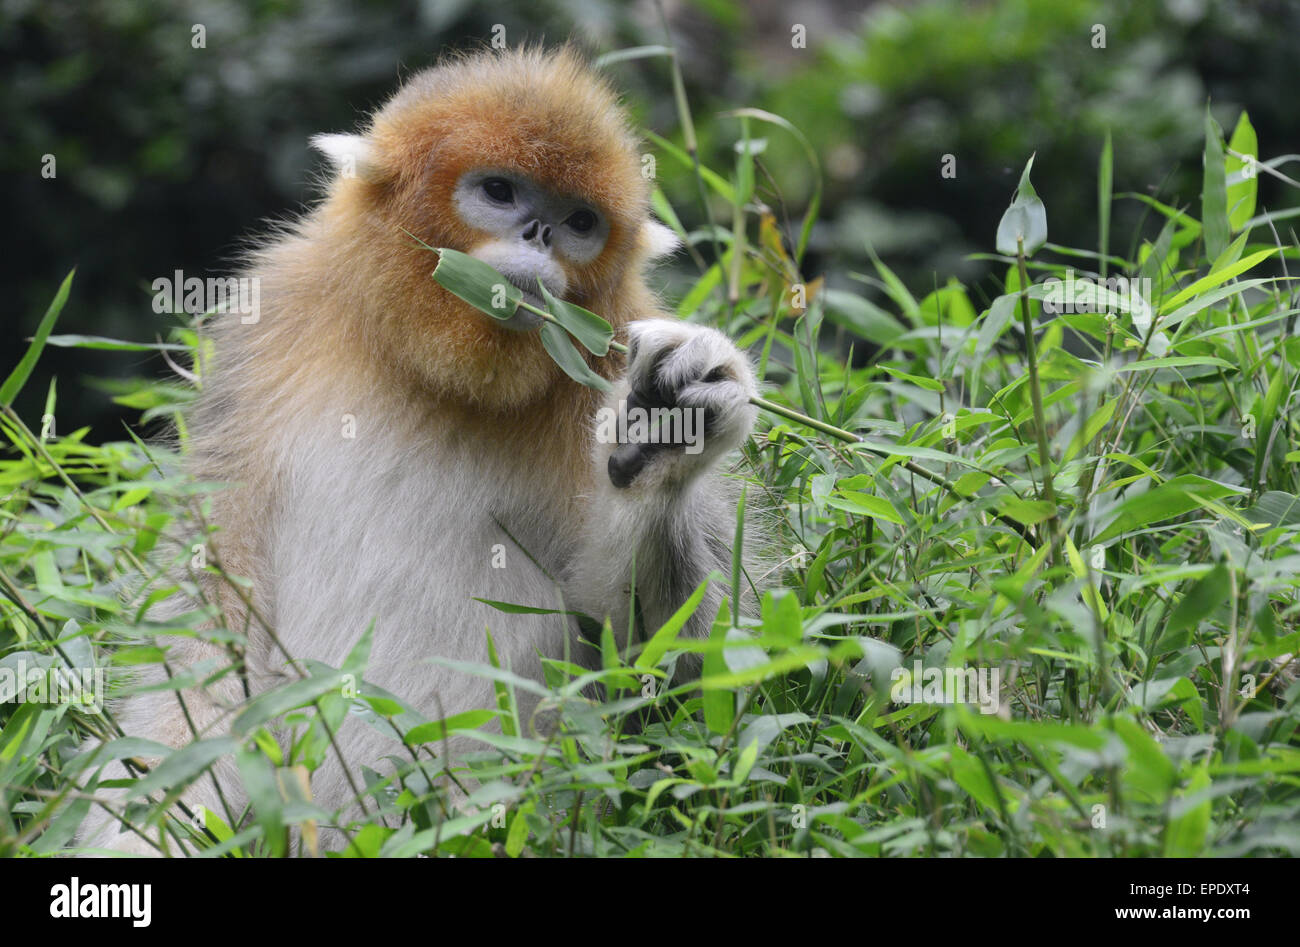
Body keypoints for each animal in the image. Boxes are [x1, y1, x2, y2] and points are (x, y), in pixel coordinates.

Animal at [76, 45, 763, 855]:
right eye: (499, 191)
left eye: (580, 222)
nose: (539, 233)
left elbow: (674, 693)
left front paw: (664, 449)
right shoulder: (266, 323)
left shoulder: (609, 345)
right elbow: (211, 638)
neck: (441, 378)